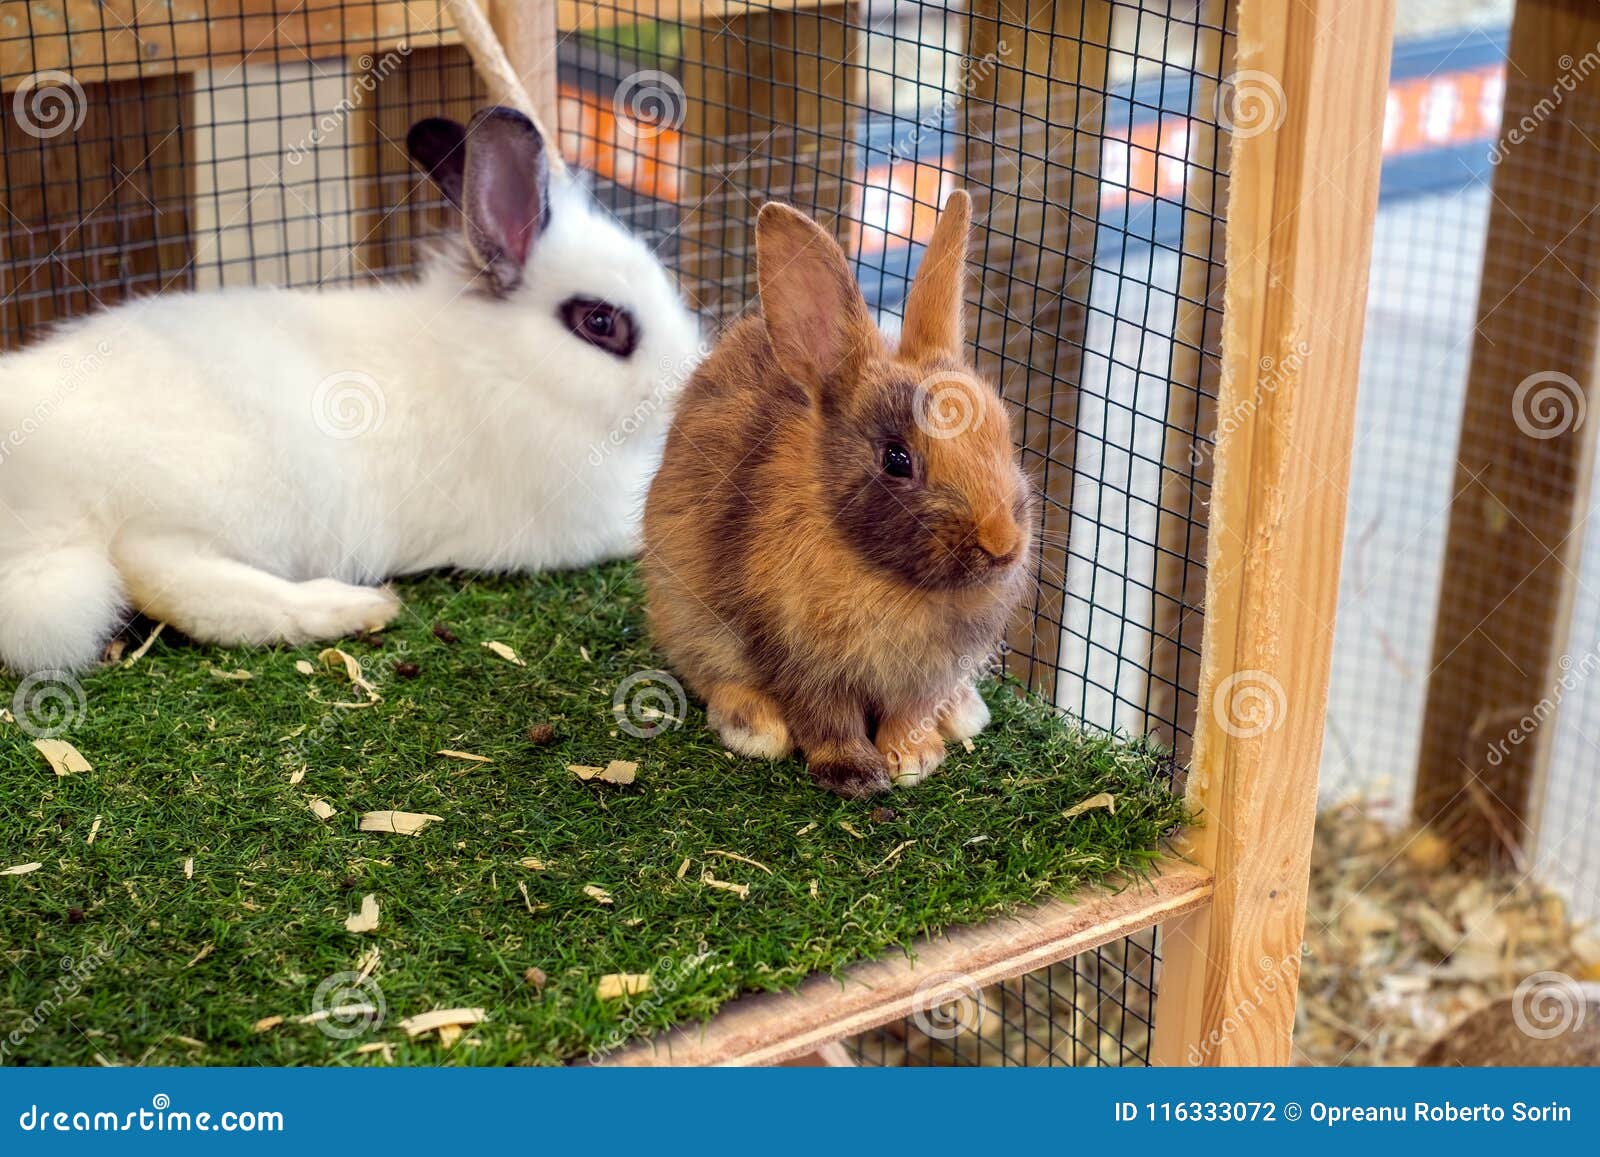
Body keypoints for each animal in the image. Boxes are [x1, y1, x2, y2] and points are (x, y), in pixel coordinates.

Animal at [0, 107, 702, 675]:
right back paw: (350, 607)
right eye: (601, 323)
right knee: (169, 574)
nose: (687, 376)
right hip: (217, 497)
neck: (505, 365)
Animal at [642, 190, 1035, 799]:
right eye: (896, 459)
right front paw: (855, 774)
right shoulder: (798, 657)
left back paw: (963, 711)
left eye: (1004, 436)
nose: (1002, 546)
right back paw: (754, 726)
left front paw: (913, 759)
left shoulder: (926, 675)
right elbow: (826, 716)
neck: (884, 573)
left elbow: (909, 713)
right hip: (684, 615)